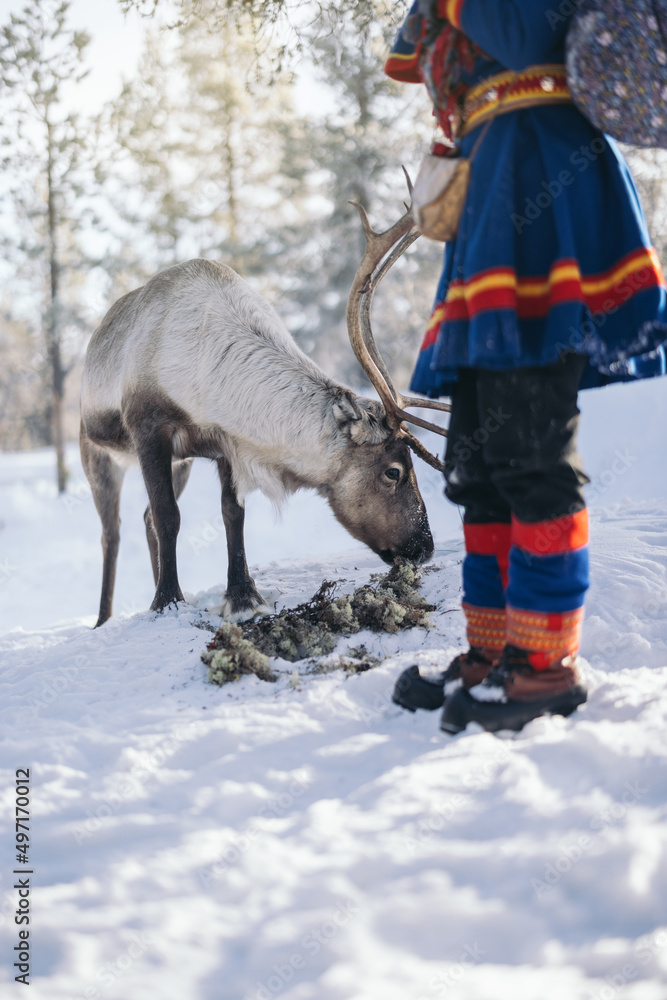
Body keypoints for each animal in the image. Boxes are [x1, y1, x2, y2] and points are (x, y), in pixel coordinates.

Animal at [79, 180, 450, 627]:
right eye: (393, 471)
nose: (425, 547)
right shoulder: (149, 428)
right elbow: (170, 516)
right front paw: (165, 601)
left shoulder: (226, 442)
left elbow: (231, 512)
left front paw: (242, 596)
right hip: (97, 454)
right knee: (112, 532)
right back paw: (106, 617)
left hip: (181, 463)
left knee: (146, 517)